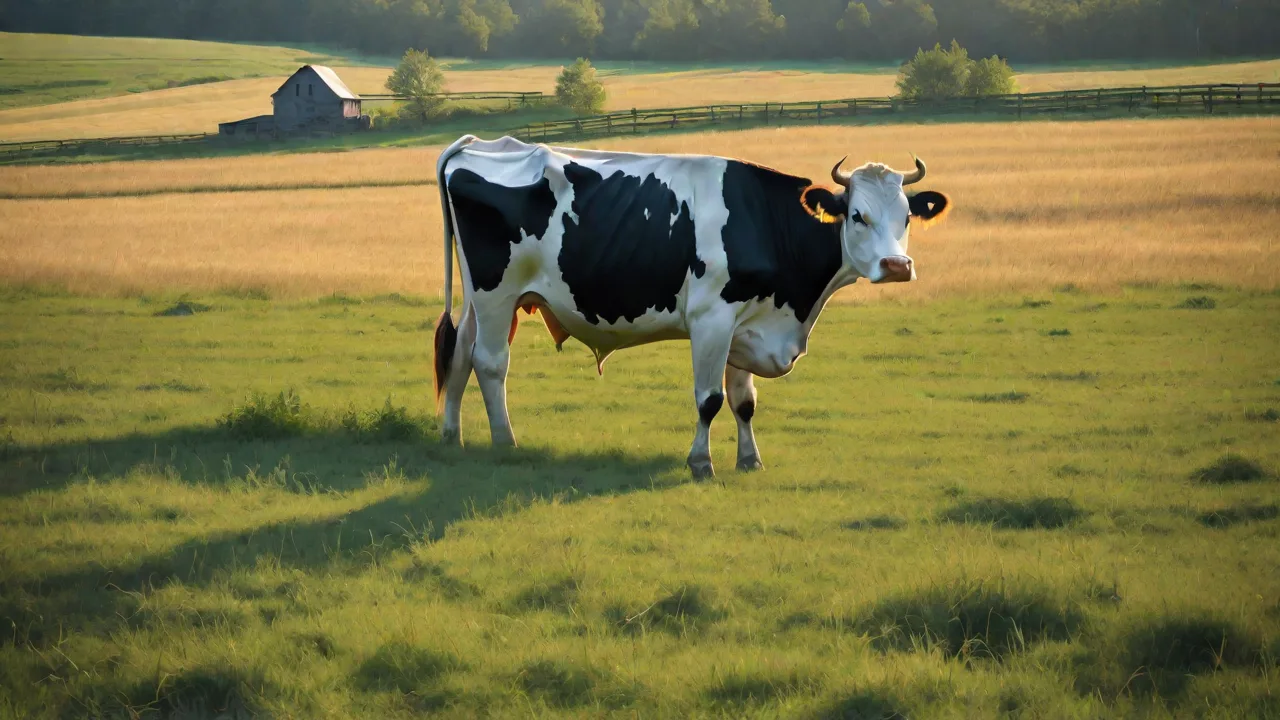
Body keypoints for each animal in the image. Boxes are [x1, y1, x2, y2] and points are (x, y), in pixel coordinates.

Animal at [432, 134, 950, 478]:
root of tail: (484, 145)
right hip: (497, 293)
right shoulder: (711, 320)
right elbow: (710, 399)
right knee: (491, 362)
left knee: (459, 354)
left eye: (907, 216)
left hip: (479, 299)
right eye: (857, 215)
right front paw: (701, 463)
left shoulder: (745, 324)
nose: (897, 265)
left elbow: (744, 402)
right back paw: (506, 443)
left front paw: (750, 460)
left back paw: (451, 437)